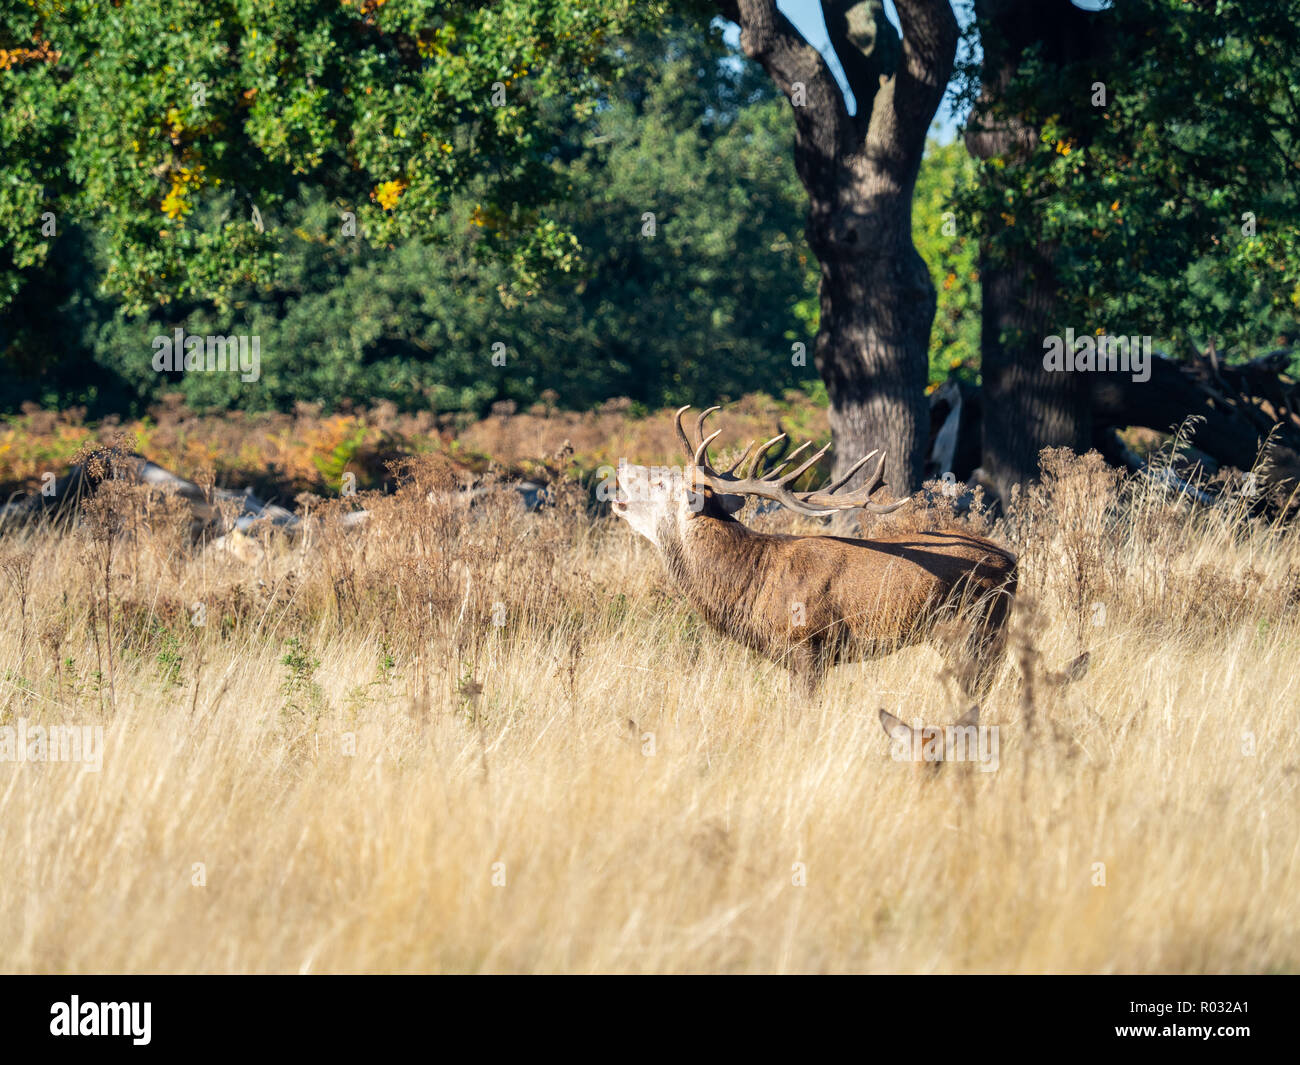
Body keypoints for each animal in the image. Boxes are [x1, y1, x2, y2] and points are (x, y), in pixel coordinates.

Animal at [610, 406, 1018, 697]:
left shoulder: (808, 645)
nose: (622, 464)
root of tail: (1014, 564)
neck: (749, 584)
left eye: (662, 483)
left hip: (975, 630)